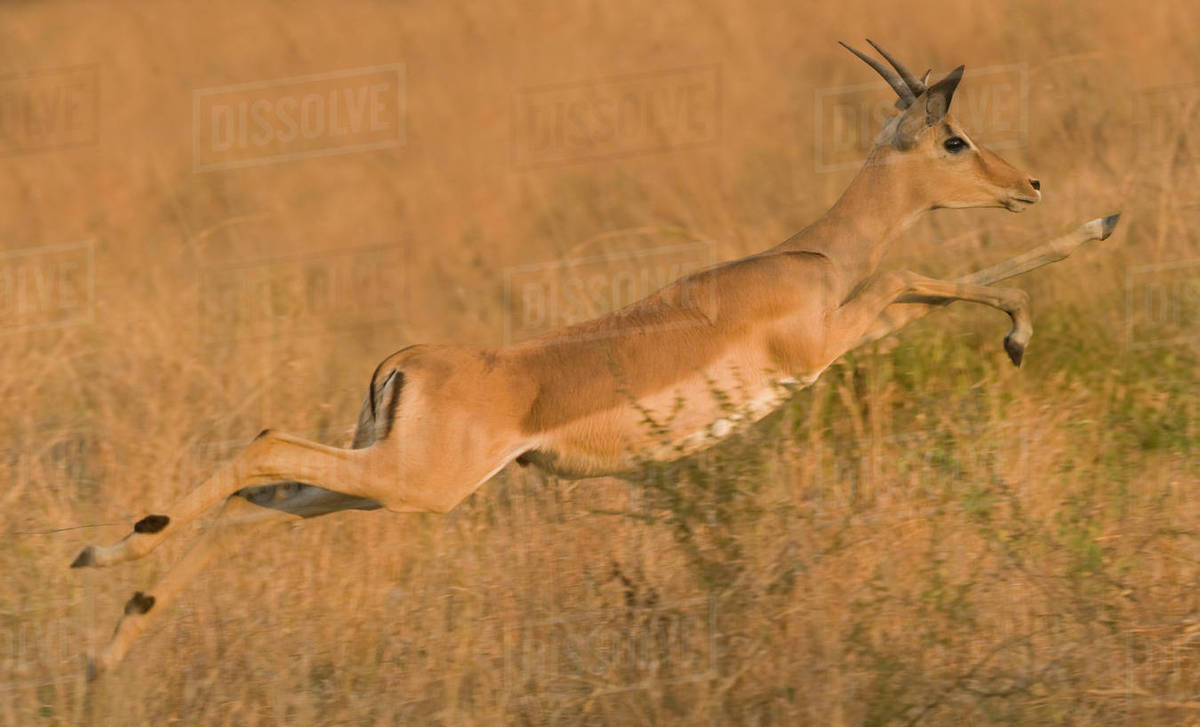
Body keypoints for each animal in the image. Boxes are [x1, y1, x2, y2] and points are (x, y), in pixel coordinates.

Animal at [70, 41, 1119, 677]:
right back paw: (104, 554)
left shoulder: (853, 330)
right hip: (415, 484)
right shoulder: (828, 338)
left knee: (252, 502)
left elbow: (932, 283)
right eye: (956, 138)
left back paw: (114, 635)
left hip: (374, 484)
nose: (1031, 183)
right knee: (261, 445)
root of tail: (405, 361)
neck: (812, 257)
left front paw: (1095, 232)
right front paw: (1030, 319)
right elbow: (923, 272)